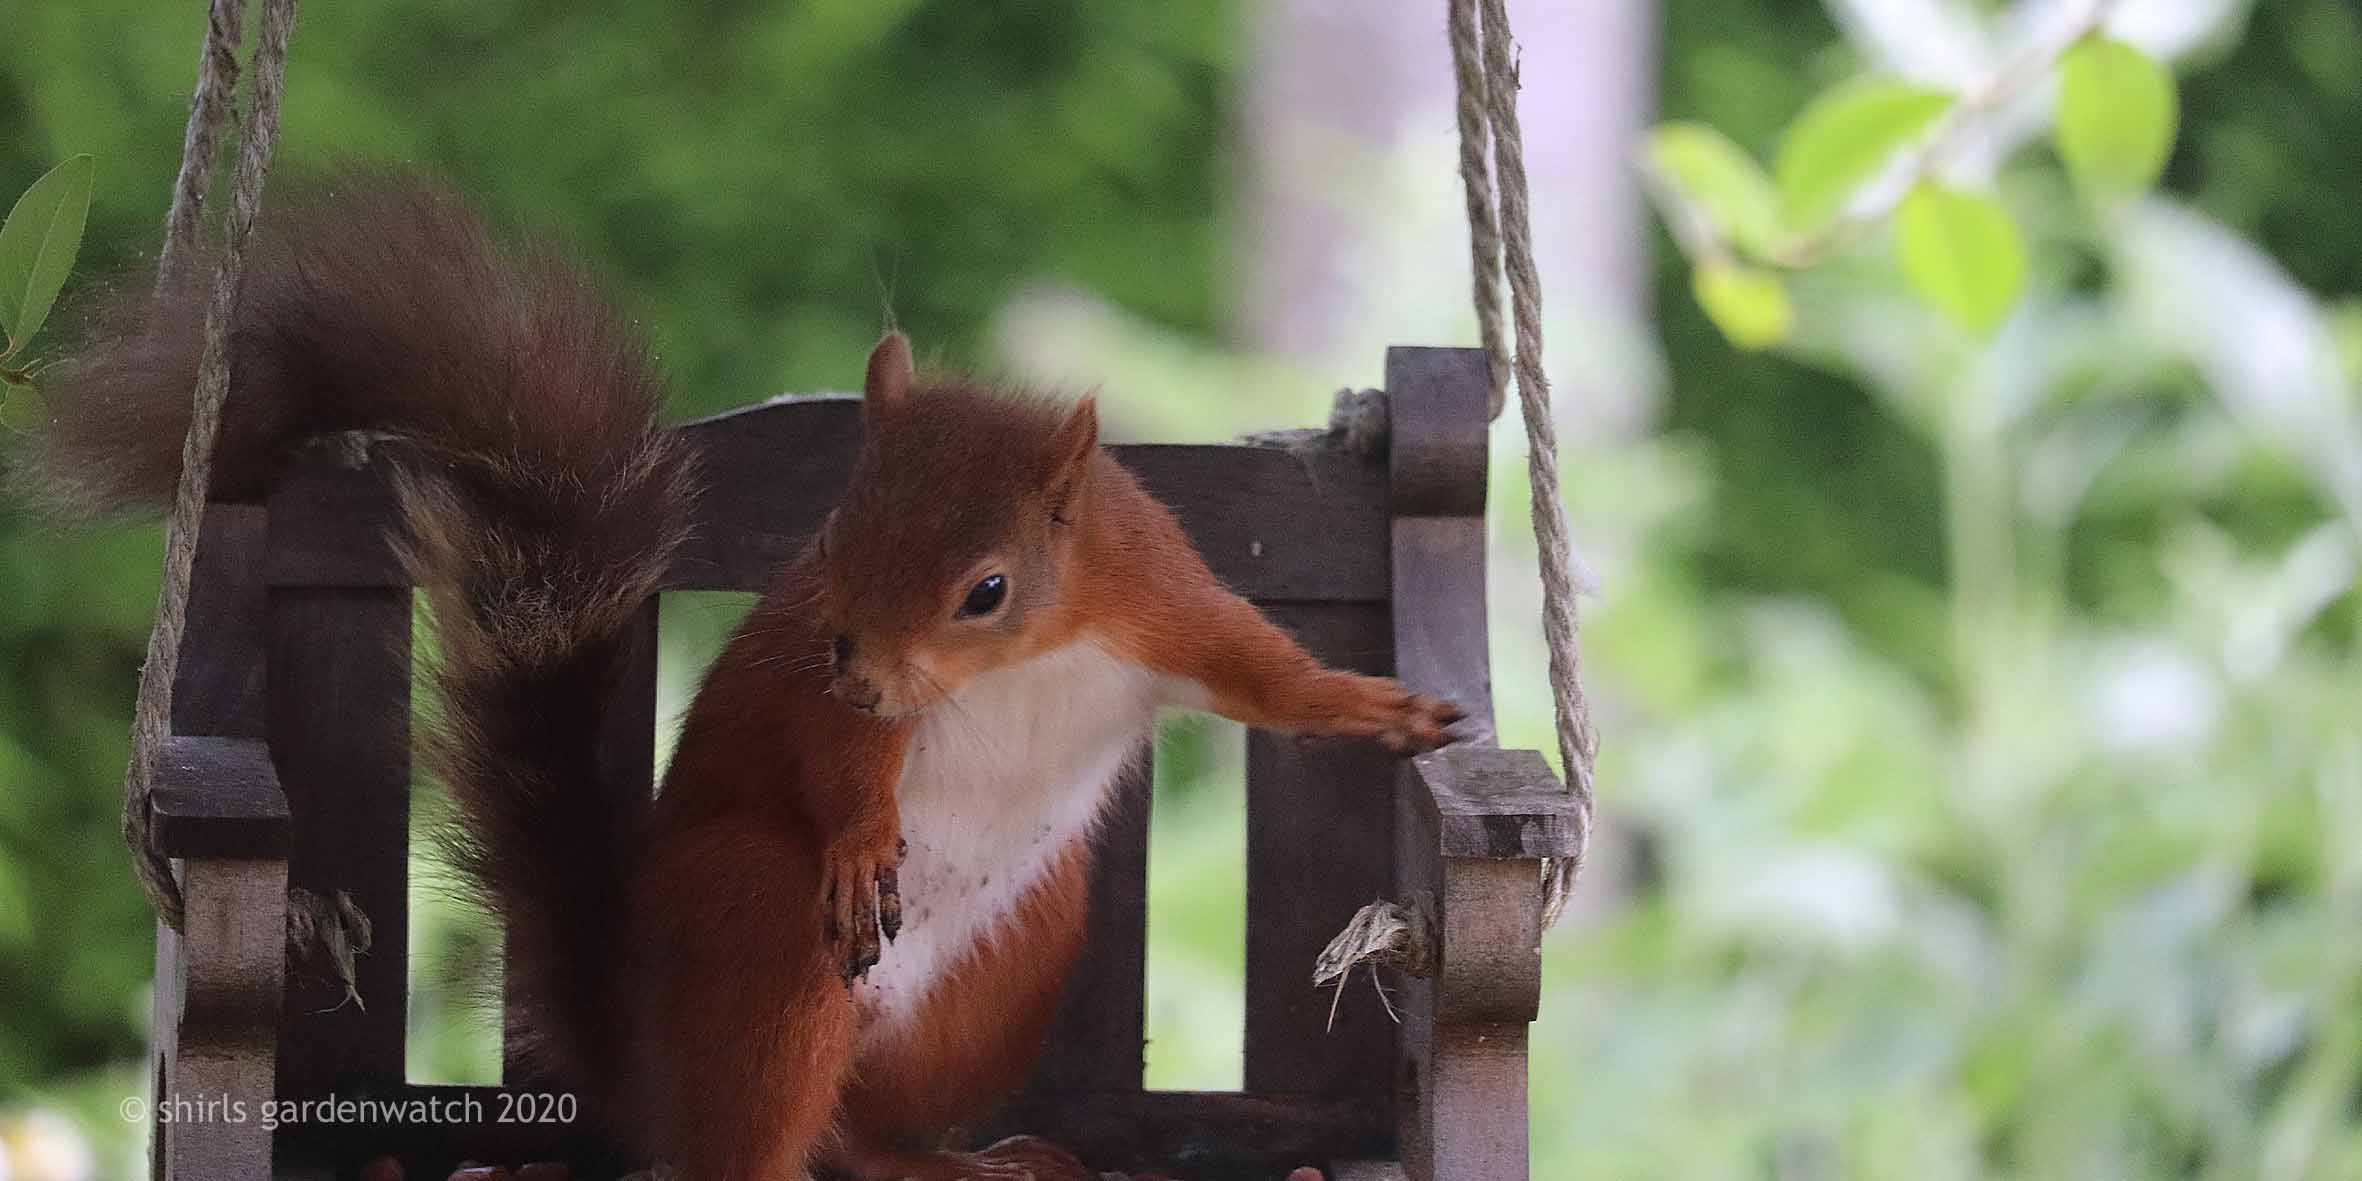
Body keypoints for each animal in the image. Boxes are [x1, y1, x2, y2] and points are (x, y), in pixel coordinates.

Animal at [20, 172, 1464, 1180]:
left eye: (986, 587)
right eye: (832, 529)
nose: (858, 660)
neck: (1026, 658)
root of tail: (637, 1043)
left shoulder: (1161, 609)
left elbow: (1263, 674)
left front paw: (1383, 710)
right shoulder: (831, 690)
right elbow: (830, 754)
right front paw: (860, 828)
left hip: (1008, 963)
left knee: (855, 1132)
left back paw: (951, 1158)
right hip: (761, 927)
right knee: (753, 1132)